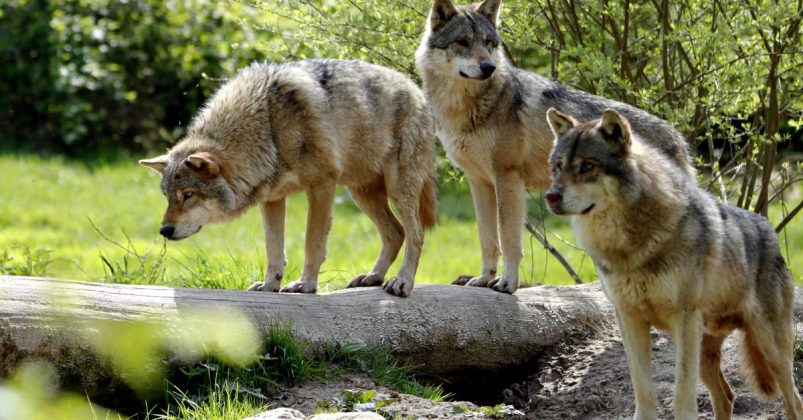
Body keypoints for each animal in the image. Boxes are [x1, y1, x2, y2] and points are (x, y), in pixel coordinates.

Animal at [139, 59, 437, 297]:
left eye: (188, 196)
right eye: (168, 197)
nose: (164, 230)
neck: (267, 127)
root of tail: (416, 88)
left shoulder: (322, 186)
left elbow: (312, 242)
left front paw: (305, 284)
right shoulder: (272, 198)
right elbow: (274, 249)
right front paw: (269, 285)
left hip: (396, 190)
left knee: (416, 234)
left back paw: (401, 282)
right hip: (361, 194)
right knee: (395, 233)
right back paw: (373, 277)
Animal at [415, 0, 695, 294]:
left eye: (488, 42)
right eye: (463, 42)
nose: (488, 67)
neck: (466, 109)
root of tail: (678, 137)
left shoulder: (508, 178)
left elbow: (509, 240)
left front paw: (507, 282)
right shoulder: (479, 182)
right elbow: (487, 239)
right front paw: (483, 279)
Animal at [545, 107, 803, 419]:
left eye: (587, 166)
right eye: (558, 166)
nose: (550, 196)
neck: (631, 247)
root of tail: (770, 230)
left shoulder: (684, 319)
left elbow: (682, 395)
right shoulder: (630, 320)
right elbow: (643, 391)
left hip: (769, 349)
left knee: (794, 400)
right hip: (706, 350)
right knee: (727, 396)